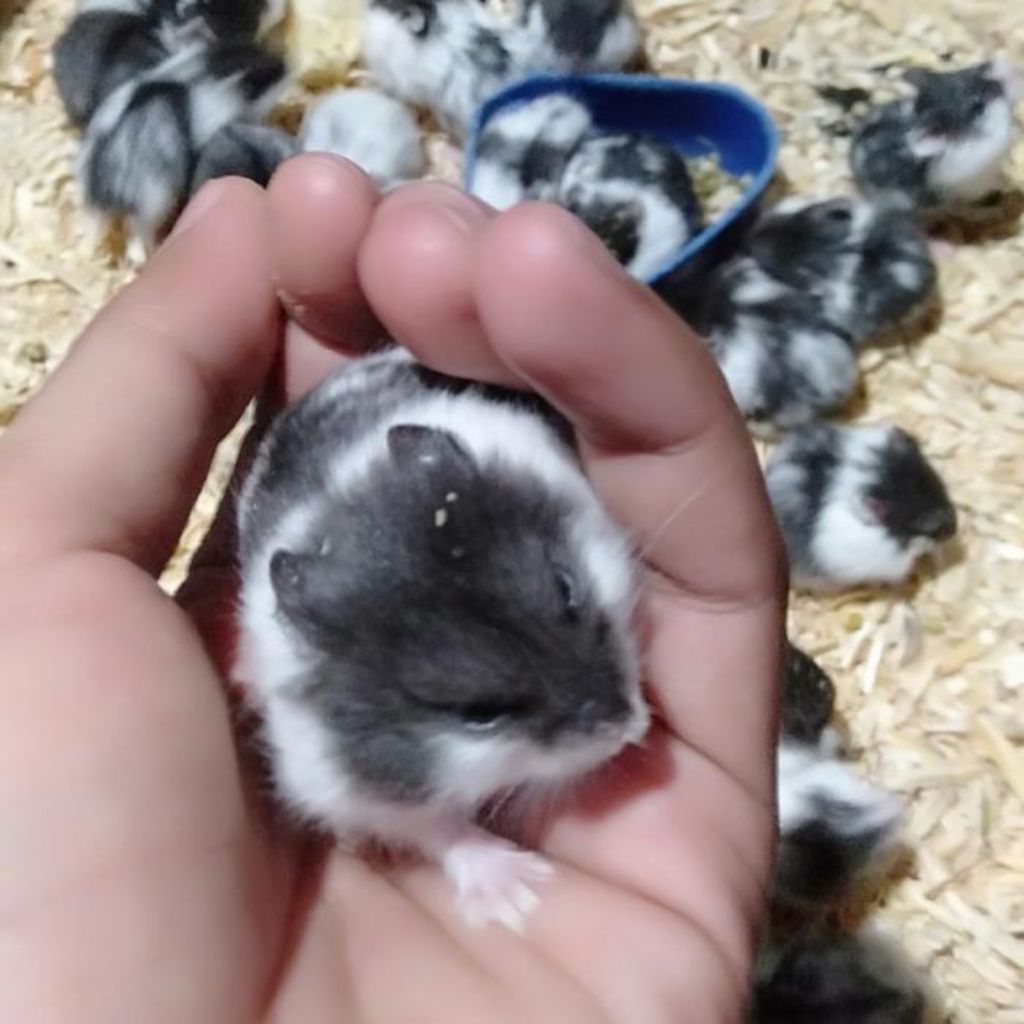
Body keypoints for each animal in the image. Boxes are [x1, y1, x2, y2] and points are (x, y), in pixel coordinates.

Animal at [78, 39, 286, 246]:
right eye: (255, 82)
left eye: (258, 49)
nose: (286, 66)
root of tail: (99, 190)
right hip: (155, 203)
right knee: (139, 231)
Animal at [234, 348, 649, 930]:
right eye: (479, 714)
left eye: (567, 590)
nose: (633, 732)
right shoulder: (347, 788)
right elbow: (439, 829)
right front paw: (521, 900)